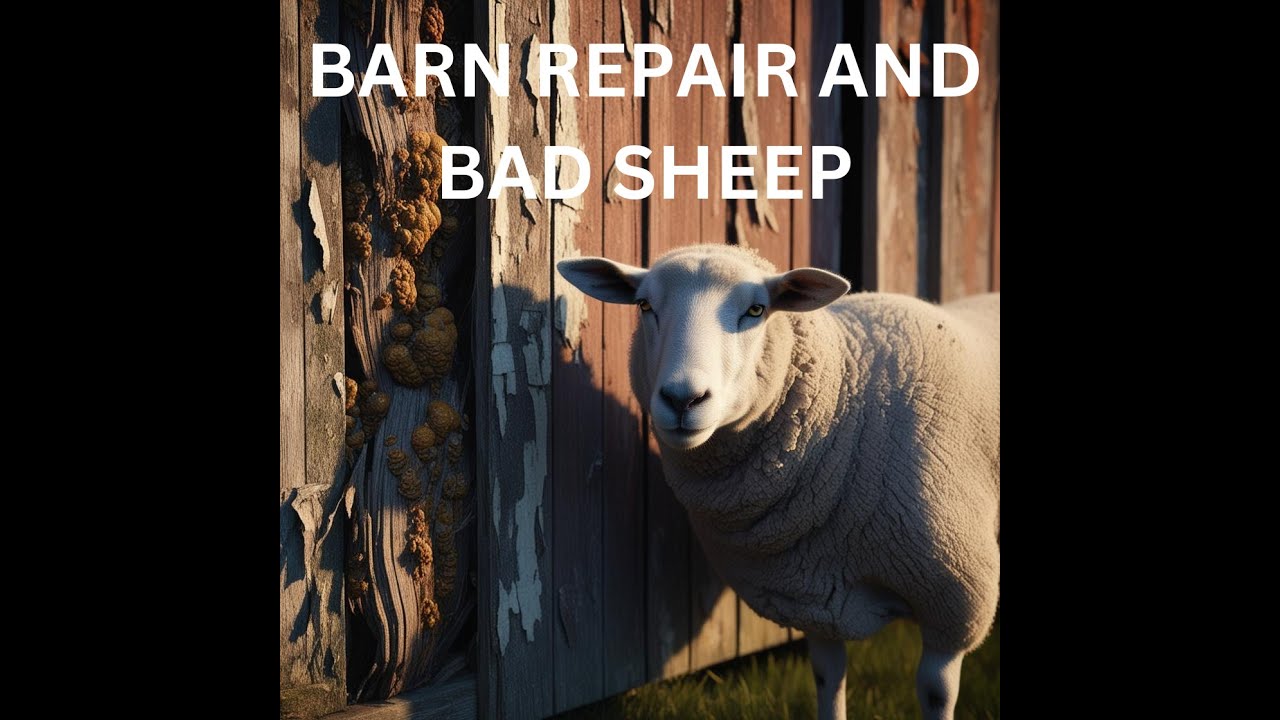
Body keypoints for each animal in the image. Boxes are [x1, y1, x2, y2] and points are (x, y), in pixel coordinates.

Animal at [557, 243, 999, 720]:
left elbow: (936, 693)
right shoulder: (815, 600)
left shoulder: (953, 608)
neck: (848, 402)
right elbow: (828, 680)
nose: (683, 399)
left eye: (756, 310)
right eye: (644, 305)